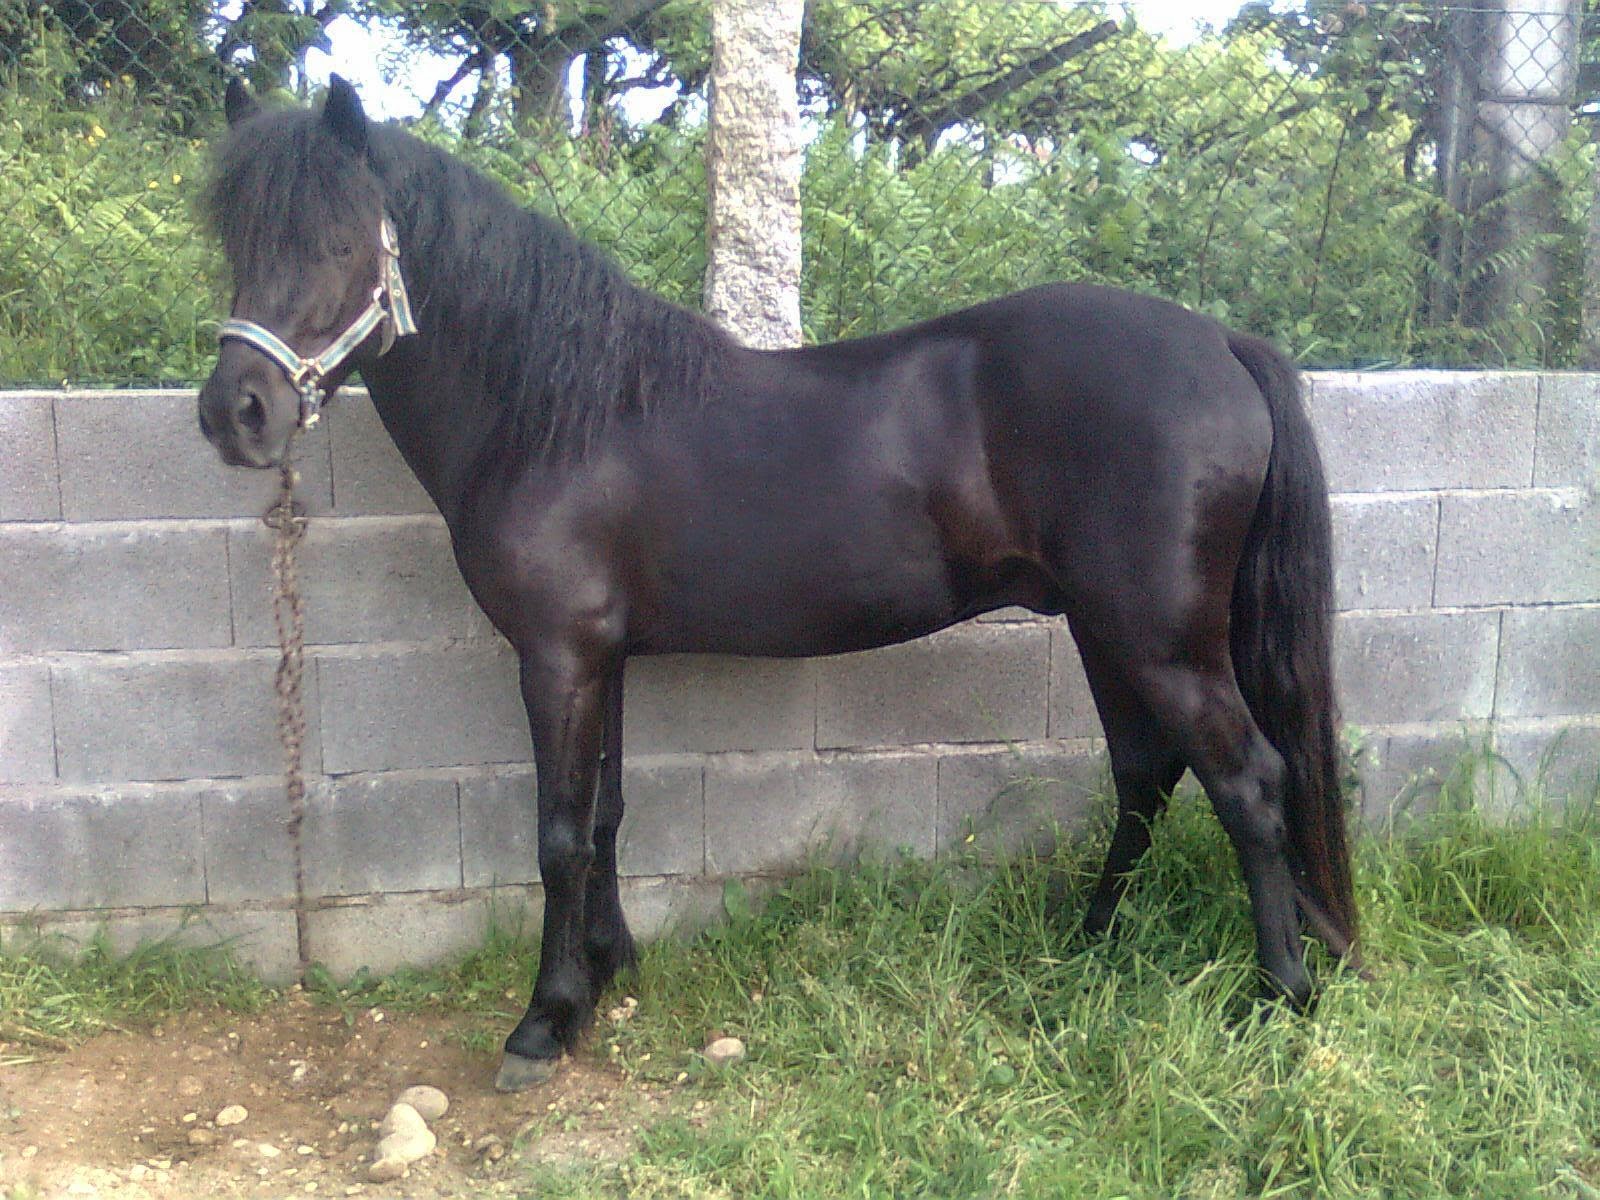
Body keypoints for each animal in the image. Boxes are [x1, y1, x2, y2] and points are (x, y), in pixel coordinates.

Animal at [198, 77, 1356, 1092]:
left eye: (340, 243)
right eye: (237, 244)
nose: (234, 415)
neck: (561, 414)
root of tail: (1218, 341)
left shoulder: (558, 658)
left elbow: (559, 836)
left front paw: (543, 1022)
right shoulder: (604, 659)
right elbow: (608, 813)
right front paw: (608, 973)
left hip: (1158, 639)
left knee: (1248, 781)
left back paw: (1280, 993)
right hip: (1107, 630)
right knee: (1147, 775)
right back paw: (1092, 941)